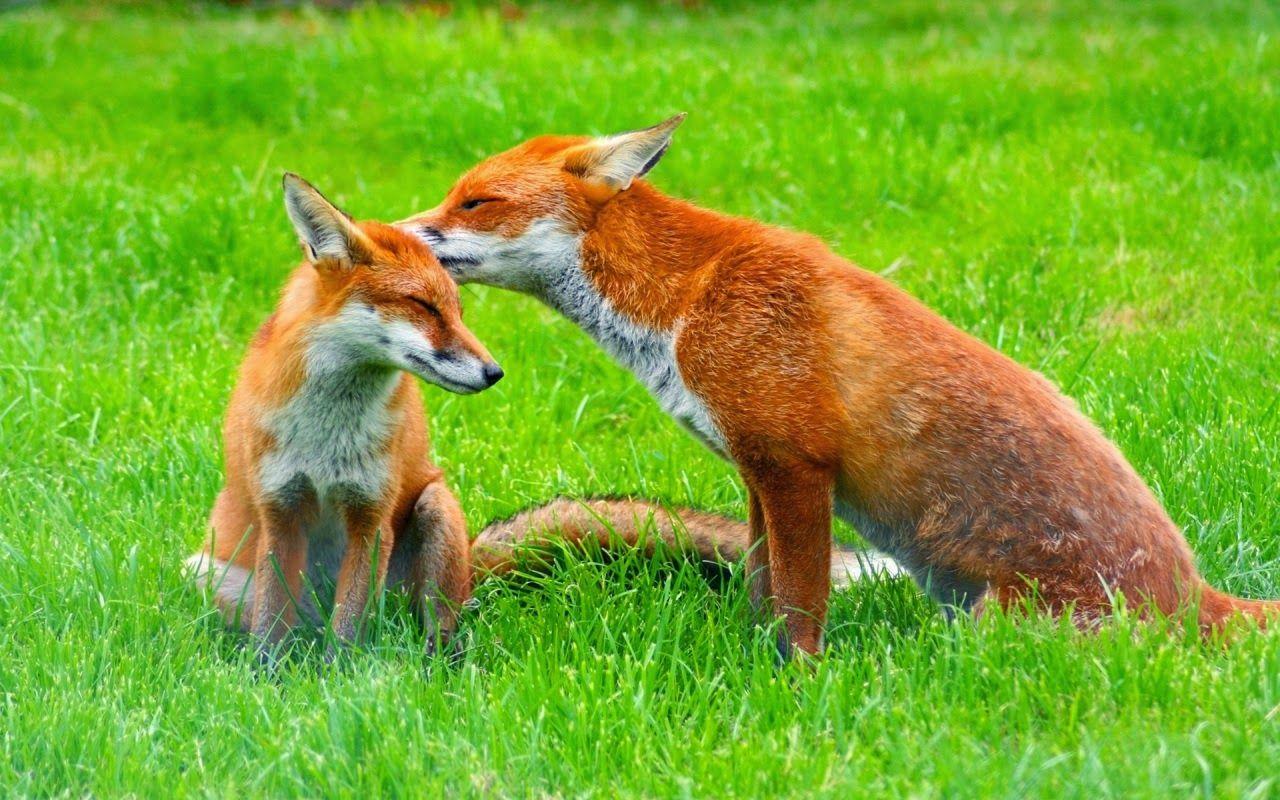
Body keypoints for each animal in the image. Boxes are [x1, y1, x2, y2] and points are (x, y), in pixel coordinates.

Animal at [186, 172, 897, 659]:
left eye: (458, 310)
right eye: (424, 306)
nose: (494, 373)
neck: (328, 431)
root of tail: (472, 564)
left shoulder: (371, 514)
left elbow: (346, 630)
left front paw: (337, 681)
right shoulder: (280, 509)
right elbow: (272, 629)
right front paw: (275, 686)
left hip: (434, 512)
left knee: (432, 626)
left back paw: (437, 665)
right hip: (210, 572)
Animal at [398, 114, 1278, 656]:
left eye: (474, 200)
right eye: (453, 195)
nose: (390, 235)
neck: (684, 302)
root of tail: (1199, 598)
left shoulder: (797, 467)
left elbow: (802, 605)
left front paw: (799, 681)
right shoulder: (756, 471)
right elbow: (761, 588)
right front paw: (752, 662)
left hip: (993, 625)